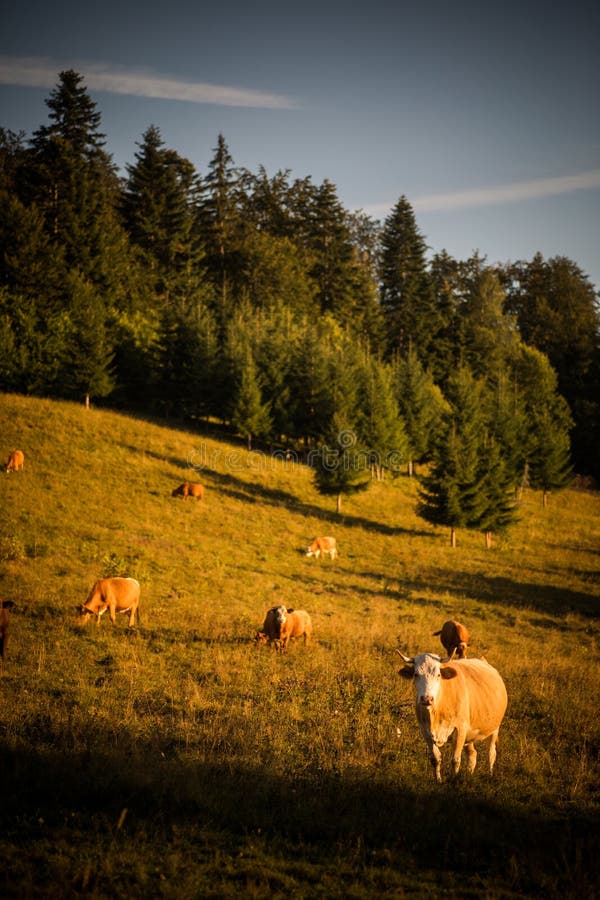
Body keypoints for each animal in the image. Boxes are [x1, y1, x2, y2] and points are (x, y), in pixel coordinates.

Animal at [397, 650, 508, 783]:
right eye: (416, 674)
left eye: (438, 675)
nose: (427, 699)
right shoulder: (425, 731)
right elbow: (435, 759)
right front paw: (438, 781)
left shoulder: (460, 729)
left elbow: (455, 760)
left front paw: (454, 781)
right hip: (469, 735)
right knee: (473, 754)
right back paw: (469, 775)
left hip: (494, 728)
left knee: (491, 753)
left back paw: (490, 775)